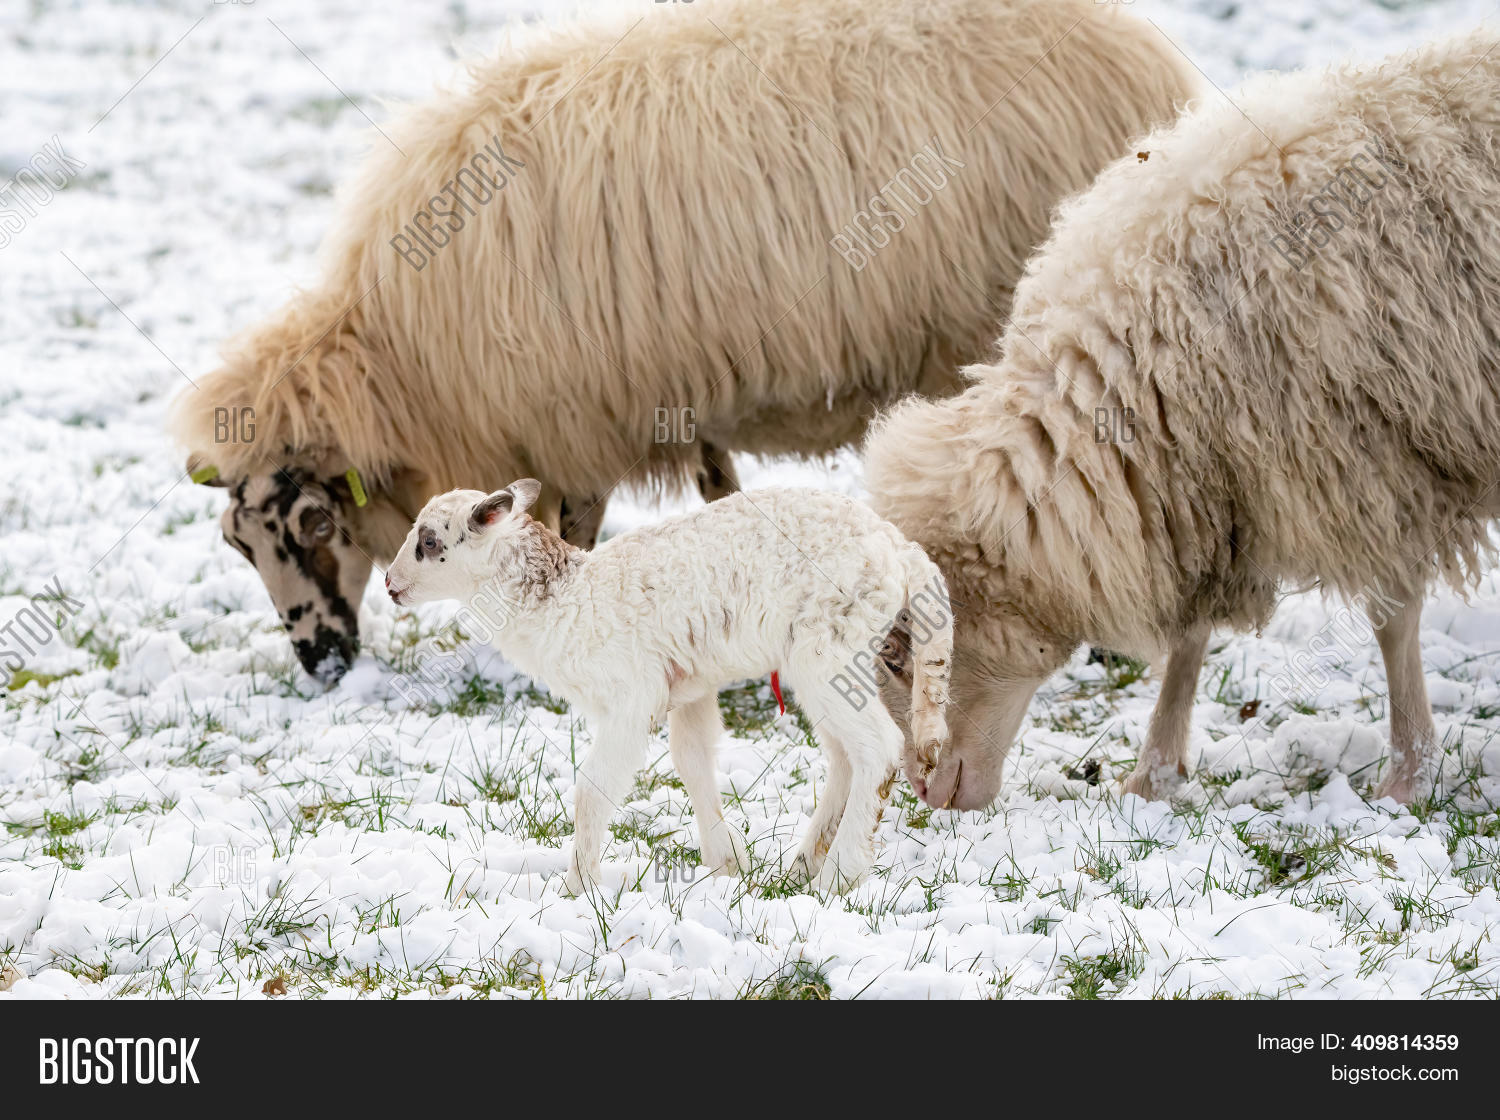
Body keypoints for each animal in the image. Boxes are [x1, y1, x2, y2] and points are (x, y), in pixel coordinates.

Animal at [170, 0, 1196, 683]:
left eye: (310, 525)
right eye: (234, 544)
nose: (318, 662)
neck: (398, 359)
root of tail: (1151, 57)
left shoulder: (574, 416)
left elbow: (573, 524)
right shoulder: (676, 391)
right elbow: (718, 490)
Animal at [384, 481, 953, 894]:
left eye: (428, 542)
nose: (389, 585)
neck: (564, 599)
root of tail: (900, 550)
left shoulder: (631, 698)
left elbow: (593, 790)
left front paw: (579, 887)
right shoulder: (689, 690)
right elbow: (693, 763)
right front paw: (726, 865)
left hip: (827, 647)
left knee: (879, 747)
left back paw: (839, 875)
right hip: (831, 662)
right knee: (844, 756)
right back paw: (803, 863)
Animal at [864, 32, 1500, 810]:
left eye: (899, 656)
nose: (926, 792)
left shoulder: (1375, 464)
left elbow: (1392, 620)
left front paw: (1407, 775)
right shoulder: (1208, 482)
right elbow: (1189, 636)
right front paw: (1154, 775)